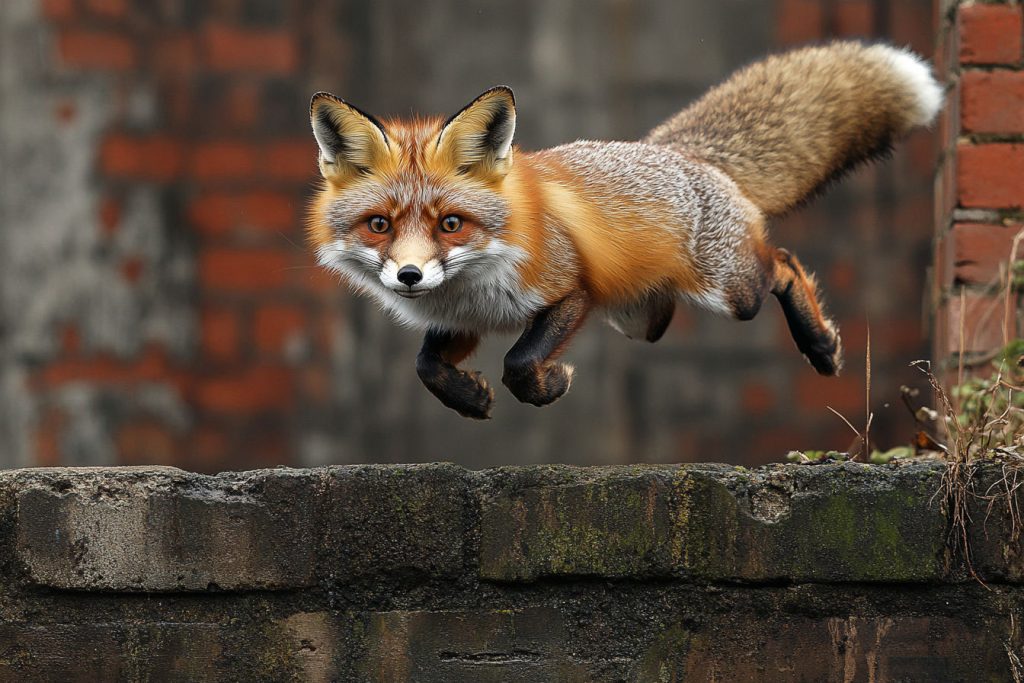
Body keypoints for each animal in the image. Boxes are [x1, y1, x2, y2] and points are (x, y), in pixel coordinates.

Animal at [307, 41, 942, 420]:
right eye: (380, 225)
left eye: (450, 224)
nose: (410, 276)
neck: (474, 282)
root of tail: (677, 153)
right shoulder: (463, 321)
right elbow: (426, 366)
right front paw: (468, 399)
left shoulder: (570, 291)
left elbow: (519, 362)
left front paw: (549, 386)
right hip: (637, 318)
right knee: (666, 316)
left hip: (730, 292)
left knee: (782, 264)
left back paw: (820, 344)